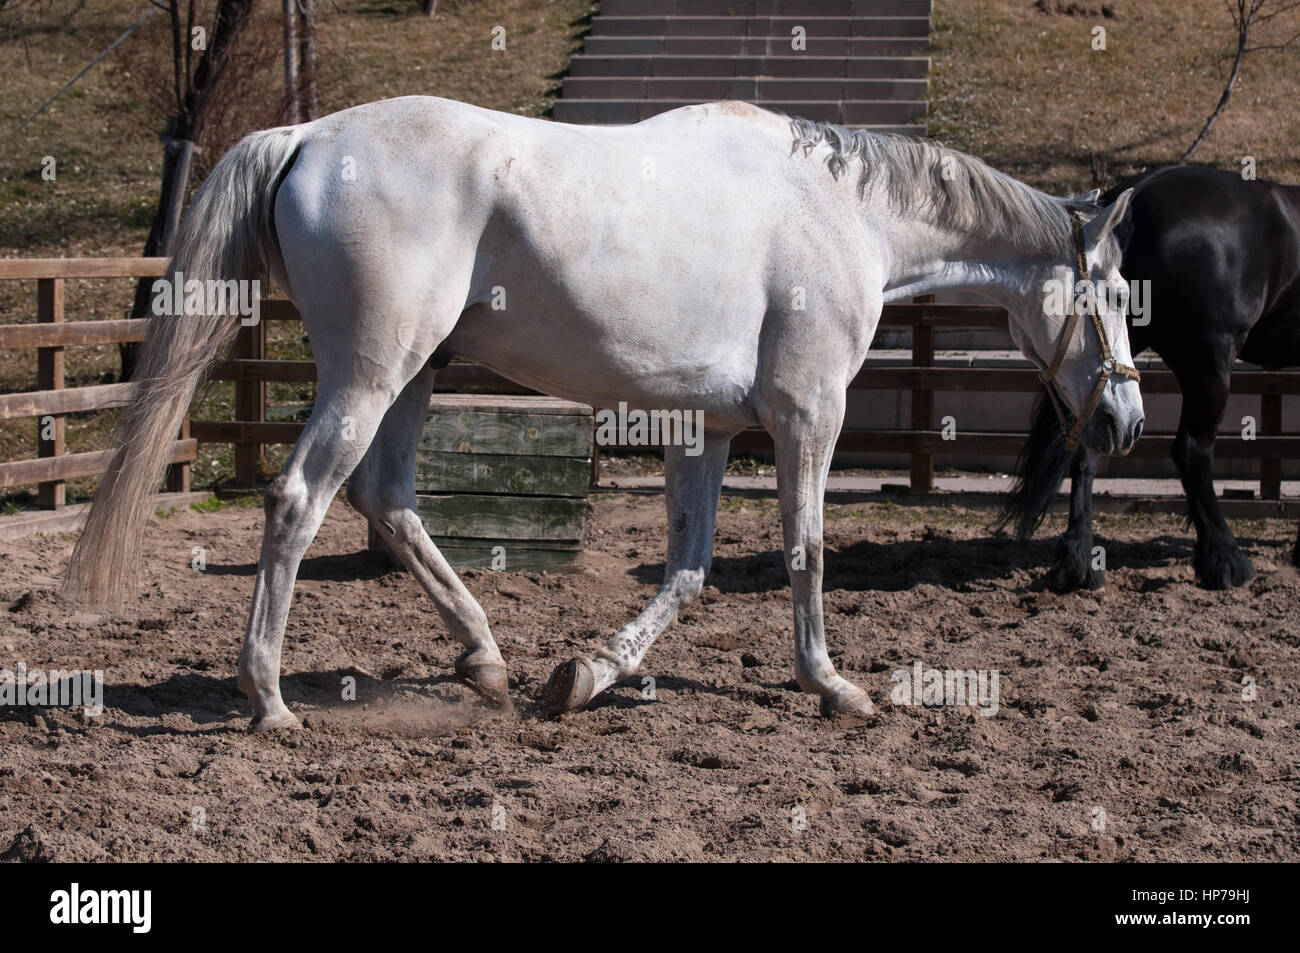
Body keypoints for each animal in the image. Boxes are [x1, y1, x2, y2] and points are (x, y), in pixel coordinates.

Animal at [64, 96, 1143, 729]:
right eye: (1118, 293)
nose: (1126, 421)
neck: (845, 215)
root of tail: (306, 137)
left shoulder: (709, 429)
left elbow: (690, 570)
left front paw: (588, 672)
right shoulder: (808, 414)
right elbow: (803, 550)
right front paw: (832, 684)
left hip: (412, 377)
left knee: (389, 500)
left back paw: (485, 657)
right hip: (372, 373)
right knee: (299, 499)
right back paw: (269, 697)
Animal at [1004, 165, 1300, 591]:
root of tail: (1141, 192)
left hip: (1109, 367)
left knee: (1091, 446)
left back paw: (1078, 561)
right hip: (1208, 366)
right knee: (1192, 451)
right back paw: (1225, 559)